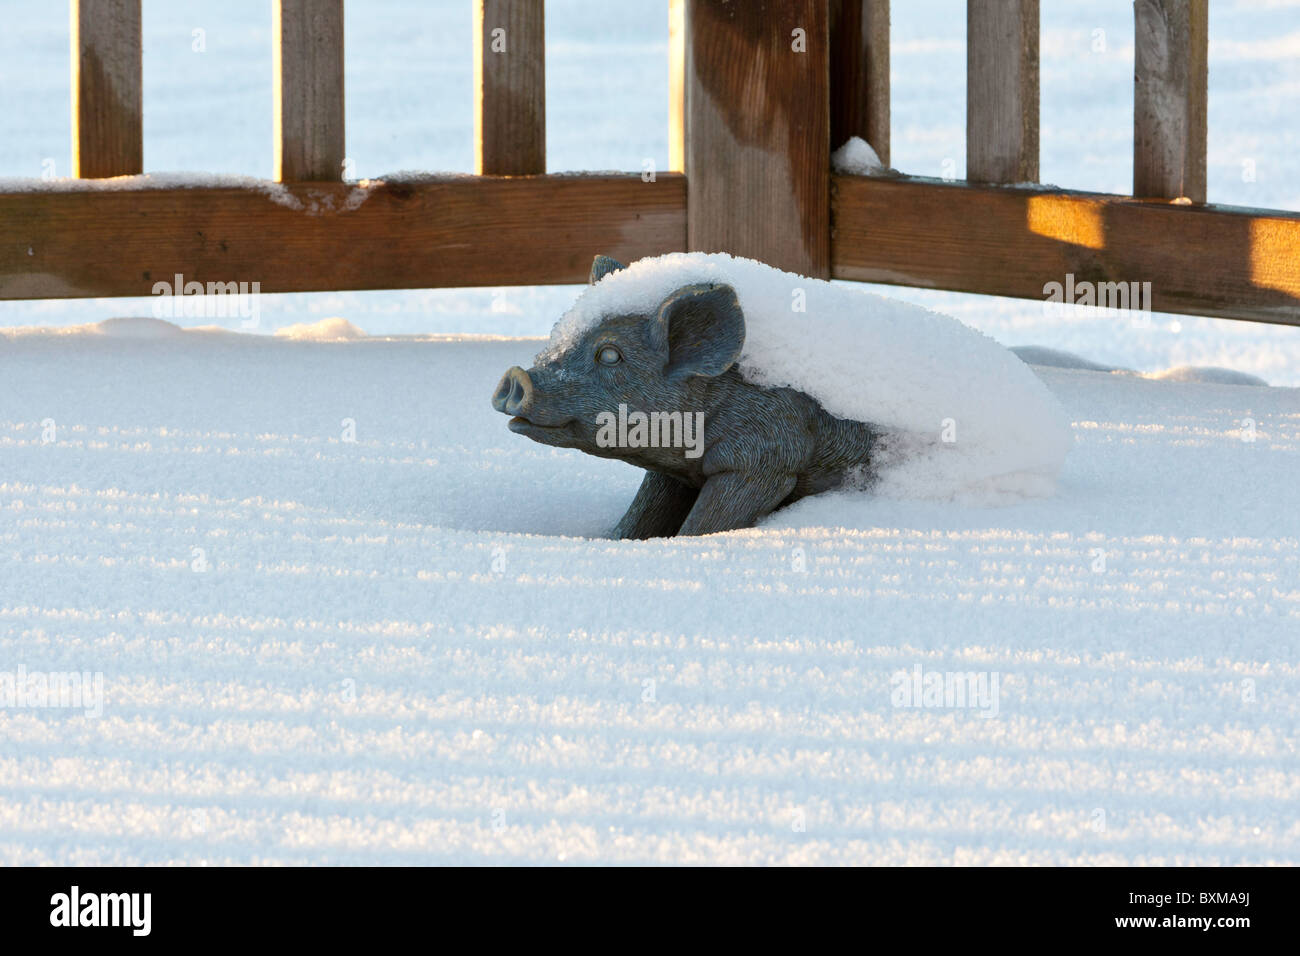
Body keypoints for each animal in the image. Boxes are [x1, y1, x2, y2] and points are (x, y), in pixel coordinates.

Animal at [491, 254, 879, 538]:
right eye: (558, 335)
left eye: (611, 355)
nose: (516, 376)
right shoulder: (674, 472)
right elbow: (642, 514)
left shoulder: (765, 456)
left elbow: (705, 523)